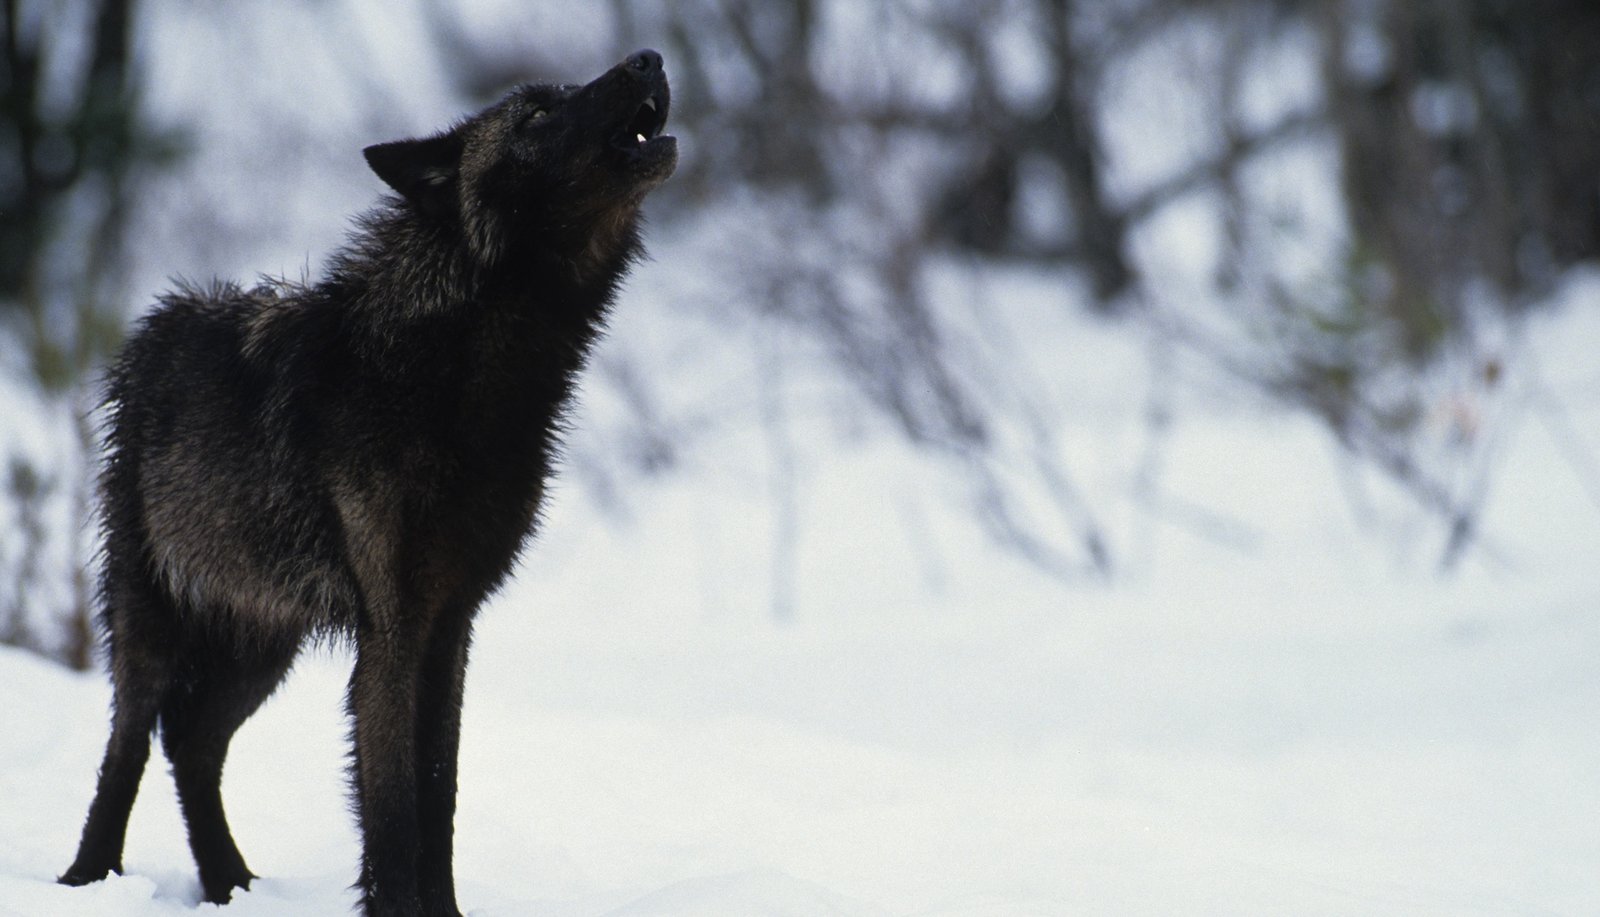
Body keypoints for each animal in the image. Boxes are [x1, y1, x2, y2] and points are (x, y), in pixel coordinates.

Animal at [57, 50, 676, 917]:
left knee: (192, 739)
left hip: (263, 637)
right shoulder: (393, 630)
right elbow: (390, 812)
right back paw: (88, 877)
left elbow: (439, 795)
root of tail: (153, 327)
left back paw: (229, 883)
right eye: (535, 117)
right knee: (130, 743)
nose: (649, 58)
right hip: (151, 623)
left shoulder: (452, 625)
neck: (458, 380)